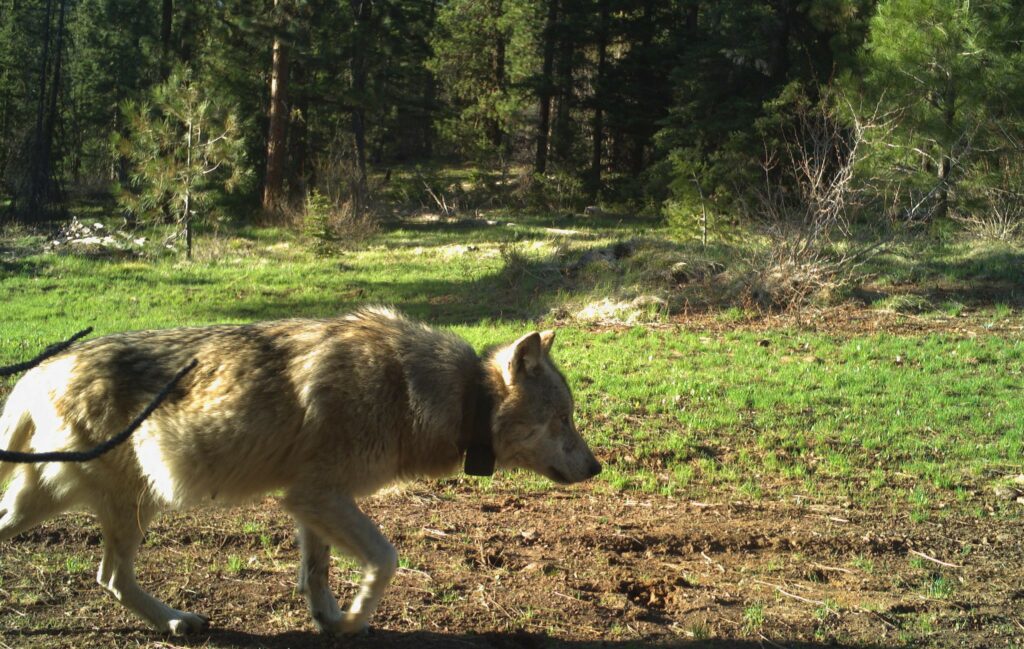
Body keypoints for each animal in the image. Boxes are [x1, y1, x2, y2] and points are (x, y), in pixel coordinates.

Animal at [0, 307, 601, 635]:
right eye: (563, 419)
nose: (596, 468)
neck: (440, 396)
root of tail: (39, 371)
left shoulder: (308, 501)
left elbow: (316, 574)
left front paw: (331, 621)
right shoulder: (318, 496)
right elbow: (386, 559)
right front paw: (355, 616)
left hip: (78, 502)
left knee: (106, 576)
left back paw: (175, 621)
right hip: (126, 503)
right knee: (109, 577)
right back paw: (176, 621)